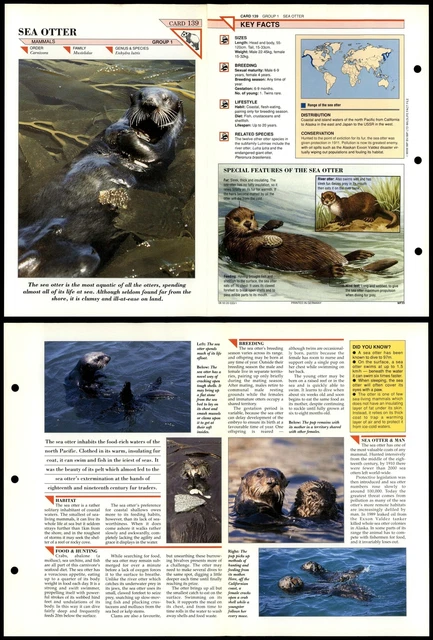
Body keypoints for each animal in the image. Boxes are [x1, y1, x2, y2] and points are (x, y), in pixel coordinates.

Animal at [19, 87, 185, 277]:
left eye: (165, 99)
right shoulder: (110, 130)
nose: (149, 104)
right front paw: (124, 132)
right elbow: (112, 131)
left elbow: (152, 152)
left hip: (86, 258)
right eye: (141, 96)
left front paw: (129, 137)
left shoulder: (166, 149)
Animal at [223, 207, 398, 277]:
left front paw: (275, 224)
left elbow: (264, 230)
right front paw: (269, 239)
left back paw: (358, 254)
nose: (247, 223)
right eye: (237, 219)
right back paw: (334, 271)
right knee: (315, 274)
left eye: (251, 216)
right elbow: (247, 252)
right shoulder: (233, 247)